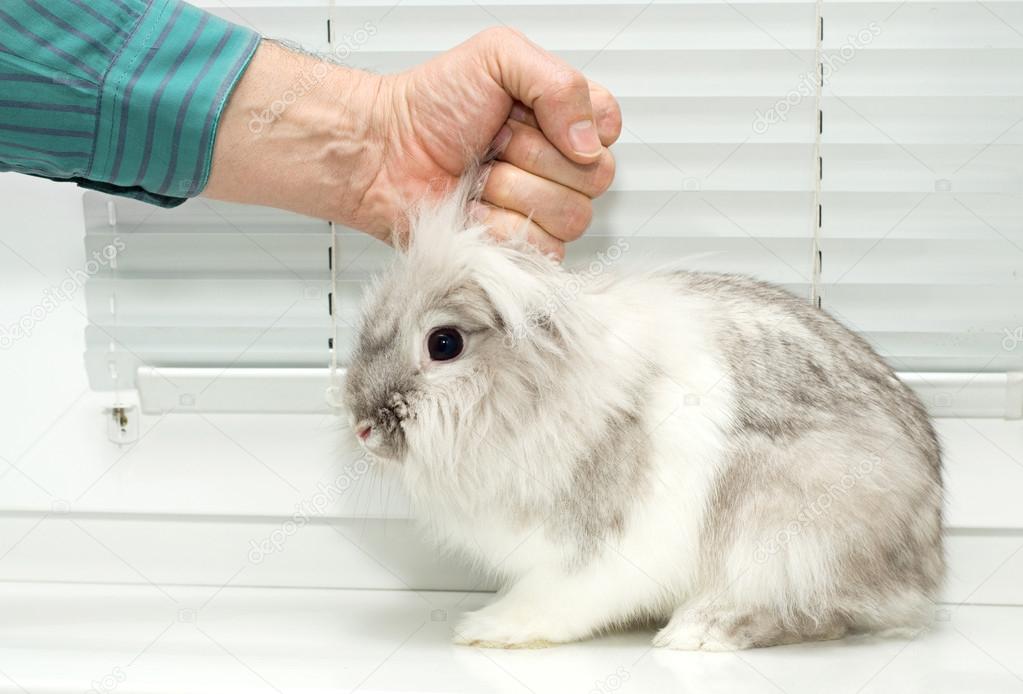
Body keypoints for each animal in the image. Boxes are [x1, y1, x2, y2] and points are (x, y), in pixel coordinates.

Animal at [342, 177, 945, 651]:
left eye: (443, 343)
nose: (363, 426)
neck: (545, 398)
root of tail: (925, 567)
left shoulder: (596, 550)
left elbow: (560, 597)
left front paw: (492, 628)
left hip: (787, 534)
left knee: (810, 610)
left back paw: (699, 631)